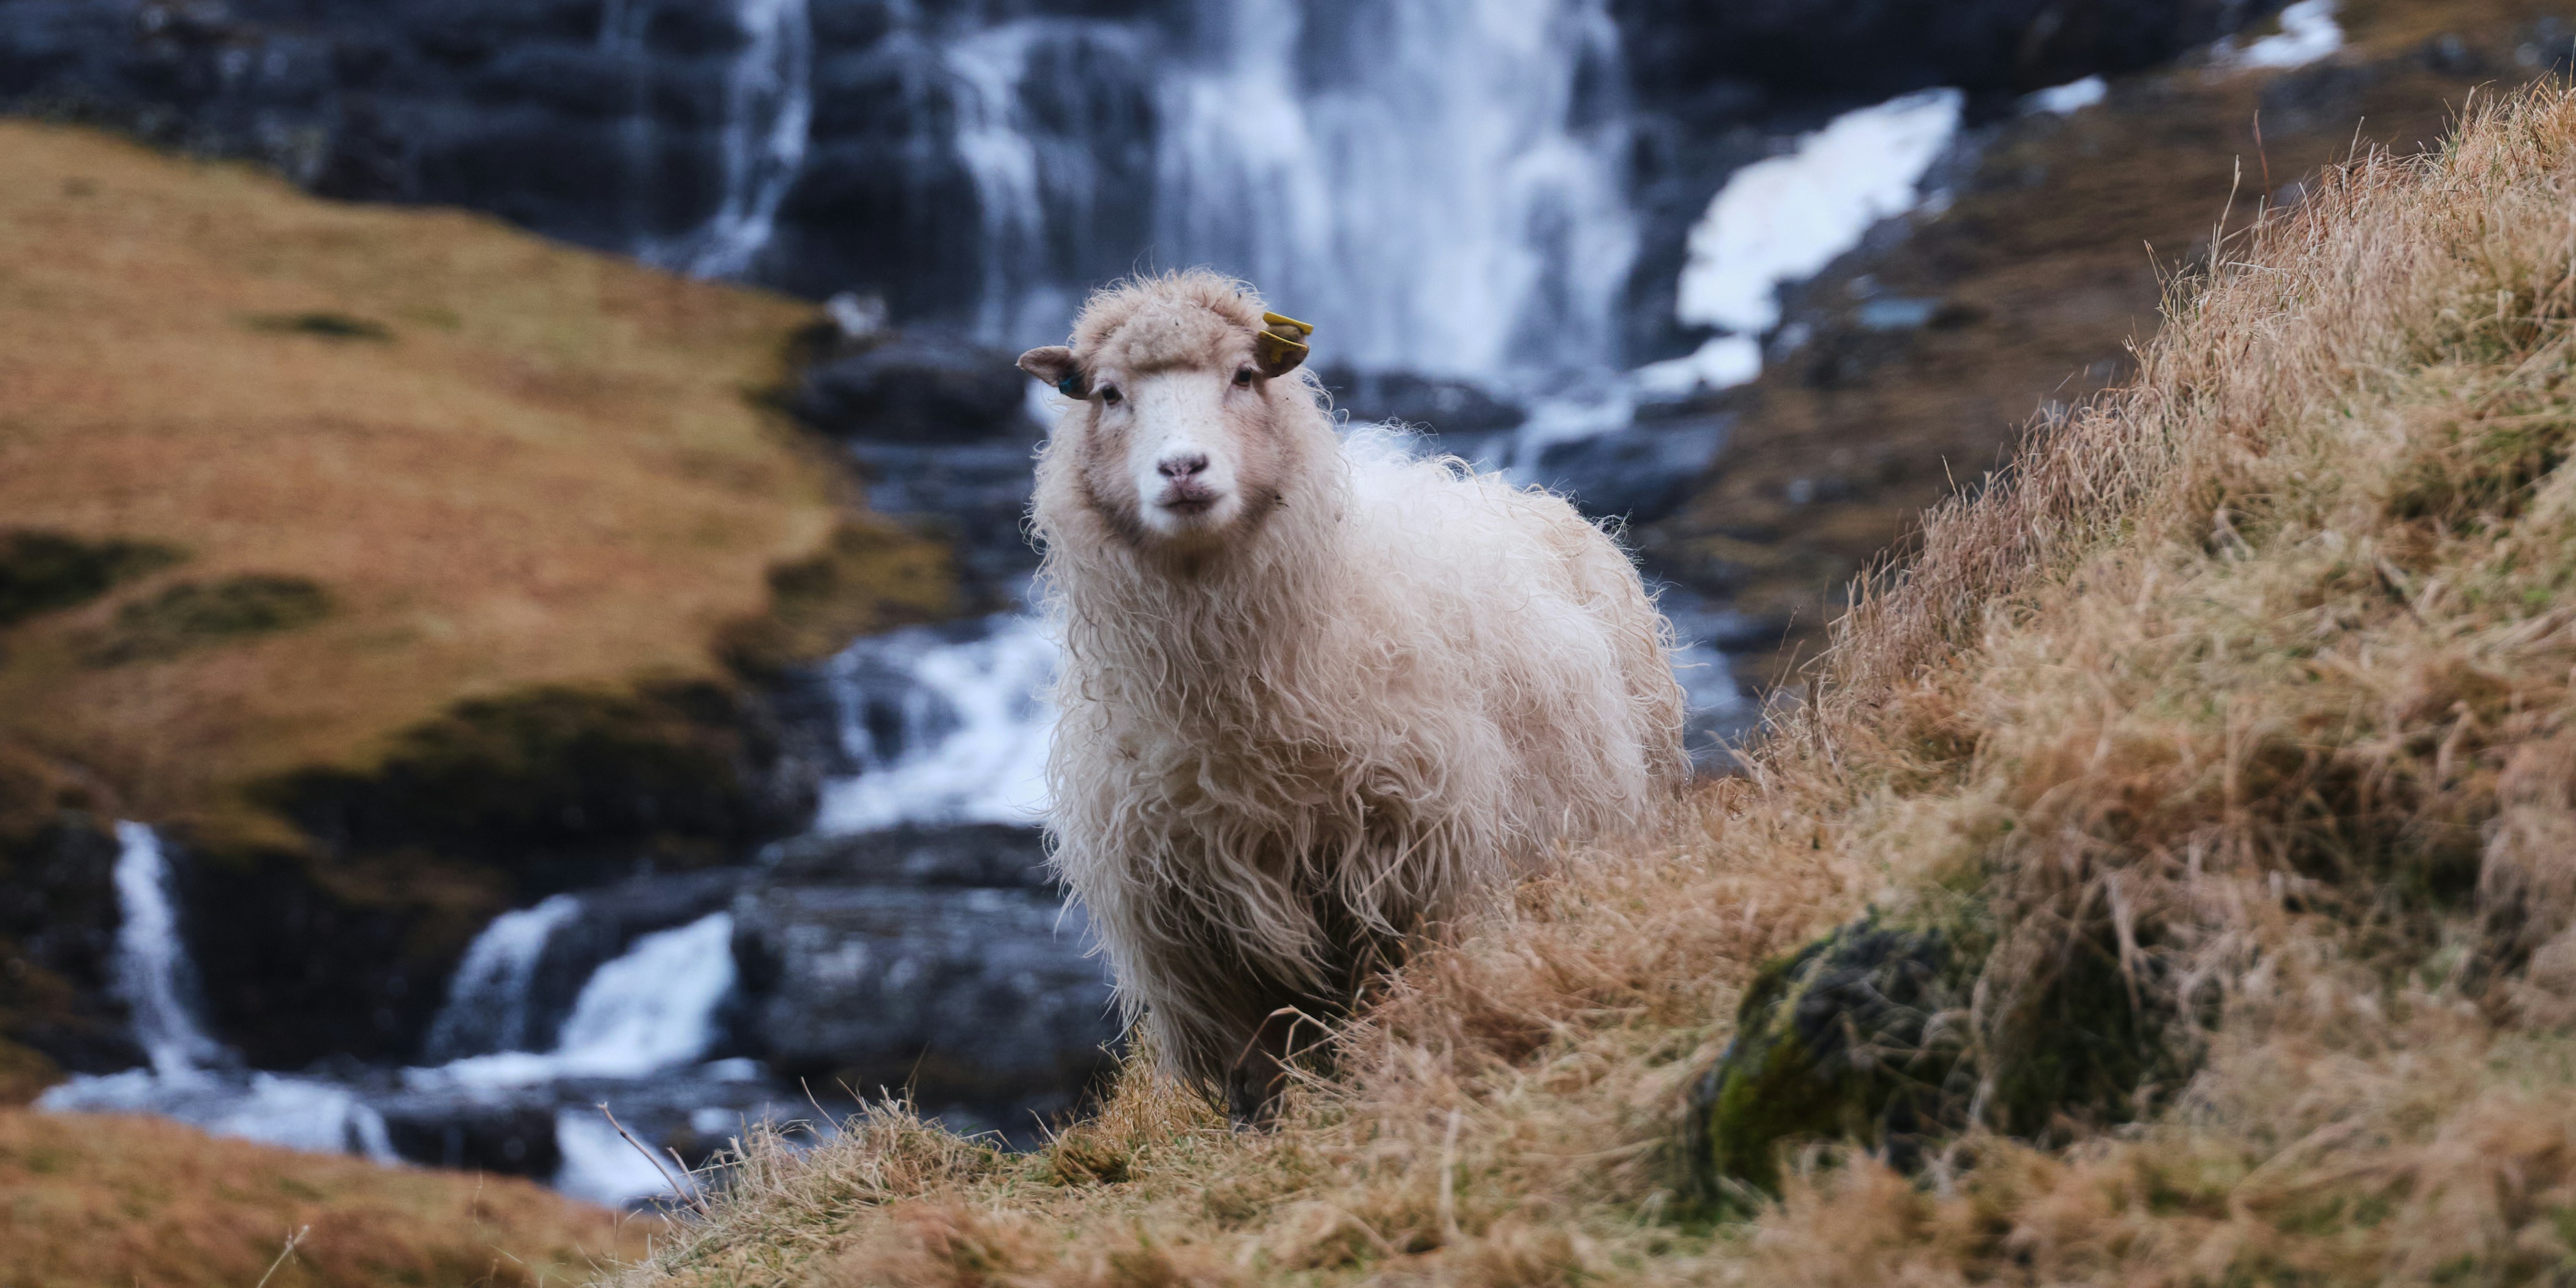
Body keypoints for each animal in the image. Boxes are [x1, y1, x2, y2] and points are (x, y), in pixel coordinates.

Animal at [1019, 270, 1689, 1120]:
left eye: (1244, 375)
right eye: (1107, 393)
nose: (1183, 468)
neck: (1232, 714)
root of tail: (1526, 492)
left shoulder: (1409, 871)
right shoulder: (1197, 931)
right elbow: (1258, 1078)